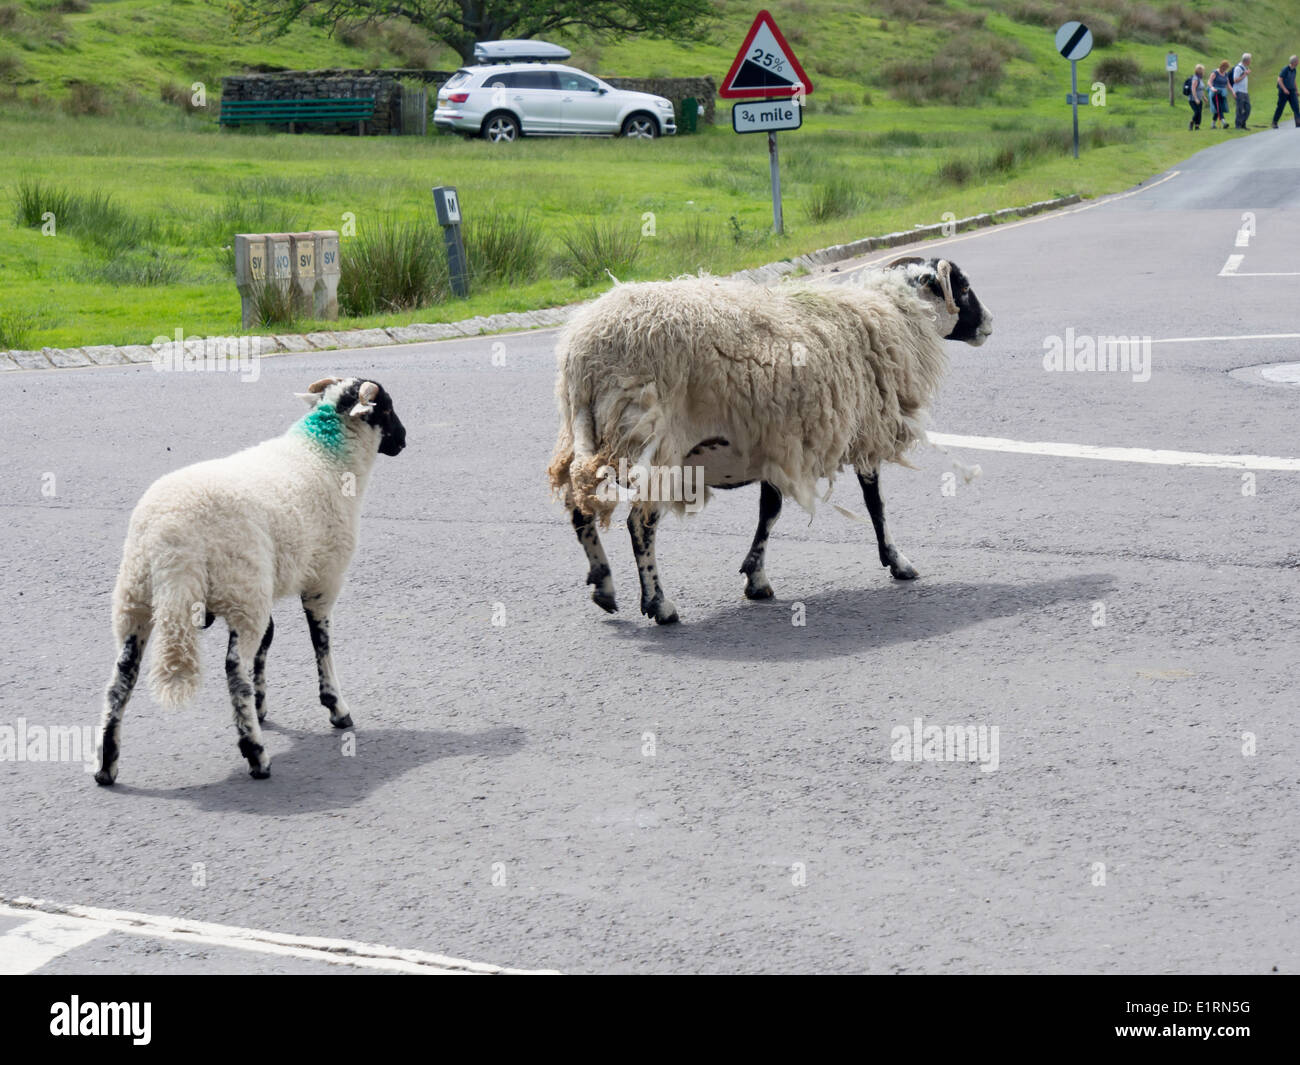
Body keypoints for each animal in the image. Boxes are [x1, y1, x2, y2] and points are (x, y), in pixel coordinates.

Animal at [94, 376, 407, 784]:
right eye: (387, 407)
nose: (403, 440)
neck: (324, 454)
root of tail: (170, 534)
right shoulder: (323, 579)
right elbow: (321, 643)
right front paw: (335, 707)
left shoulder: (265, 585)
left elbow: (269, 641)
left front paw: (262, 705)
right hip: (239, 591)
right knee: (233, 670)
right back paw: (256, 755)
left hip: (138, 598)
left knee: (120, 679)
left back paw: (106, 764)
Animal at [547, 257, 993, 624]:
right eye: (963, 287)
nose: (989, 323)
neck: (894, 313)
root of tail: (584, 355)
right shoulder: (861, 429)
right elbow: (875, 503)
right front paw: (898, 562)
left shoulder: (777, 444)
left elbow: (769, 511)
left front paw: (756, 577)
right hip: (654, 446)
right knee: (640, 524)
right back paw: (660, 604)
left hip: (587, 438)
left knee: (580, 509)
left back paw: (604, 586)